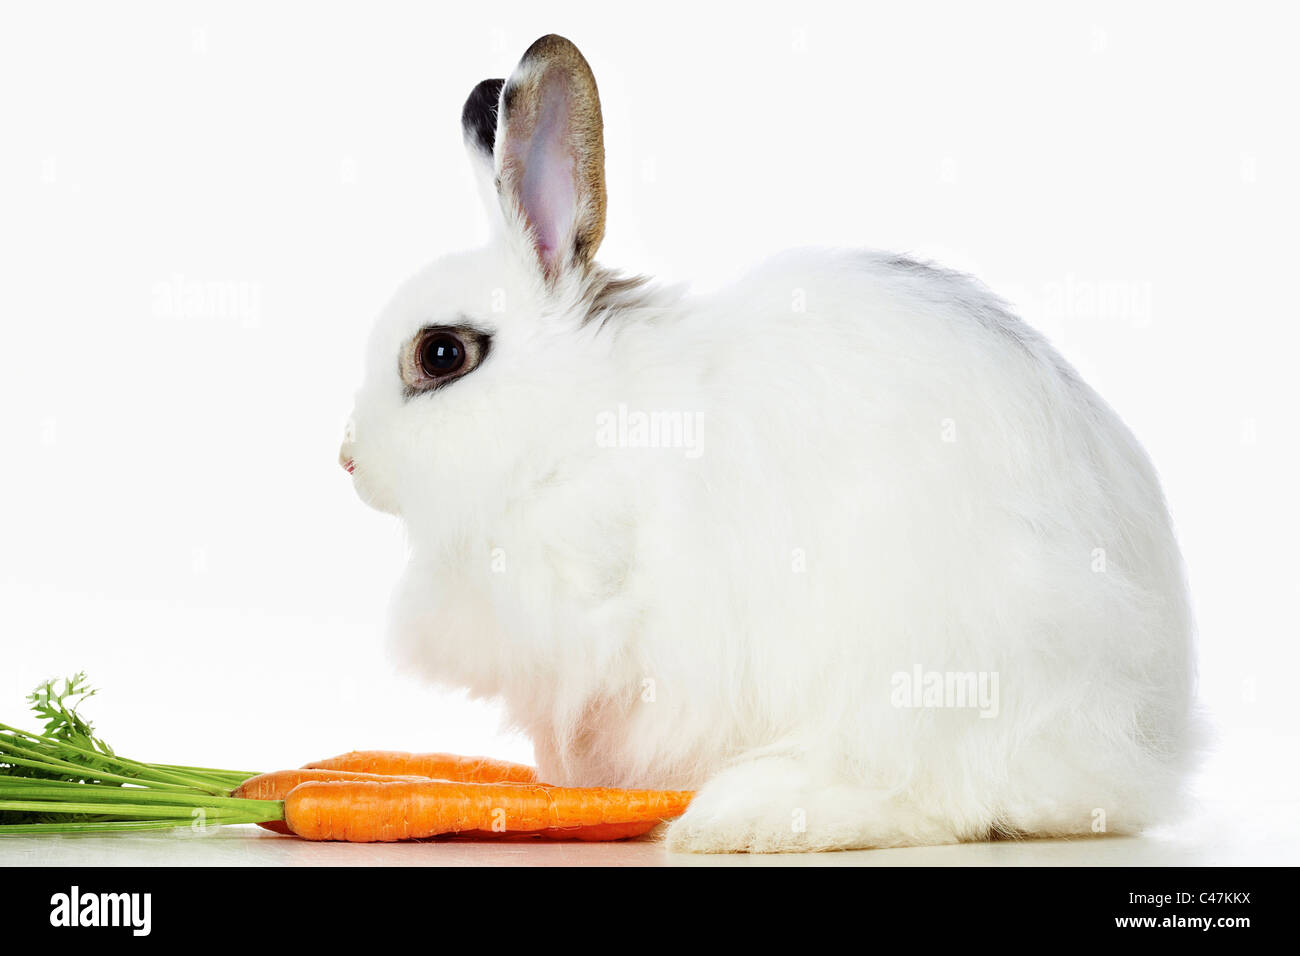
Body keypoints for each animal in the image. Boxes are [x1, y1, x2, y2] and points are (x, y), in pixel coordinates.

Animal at [339, 34, 1199, 853]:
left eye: (442, 354)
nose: (348, 462)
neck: (577, 422)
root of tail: (1145, 745)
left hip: (929, 677)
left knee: (938, 802)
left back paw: (743, 820)